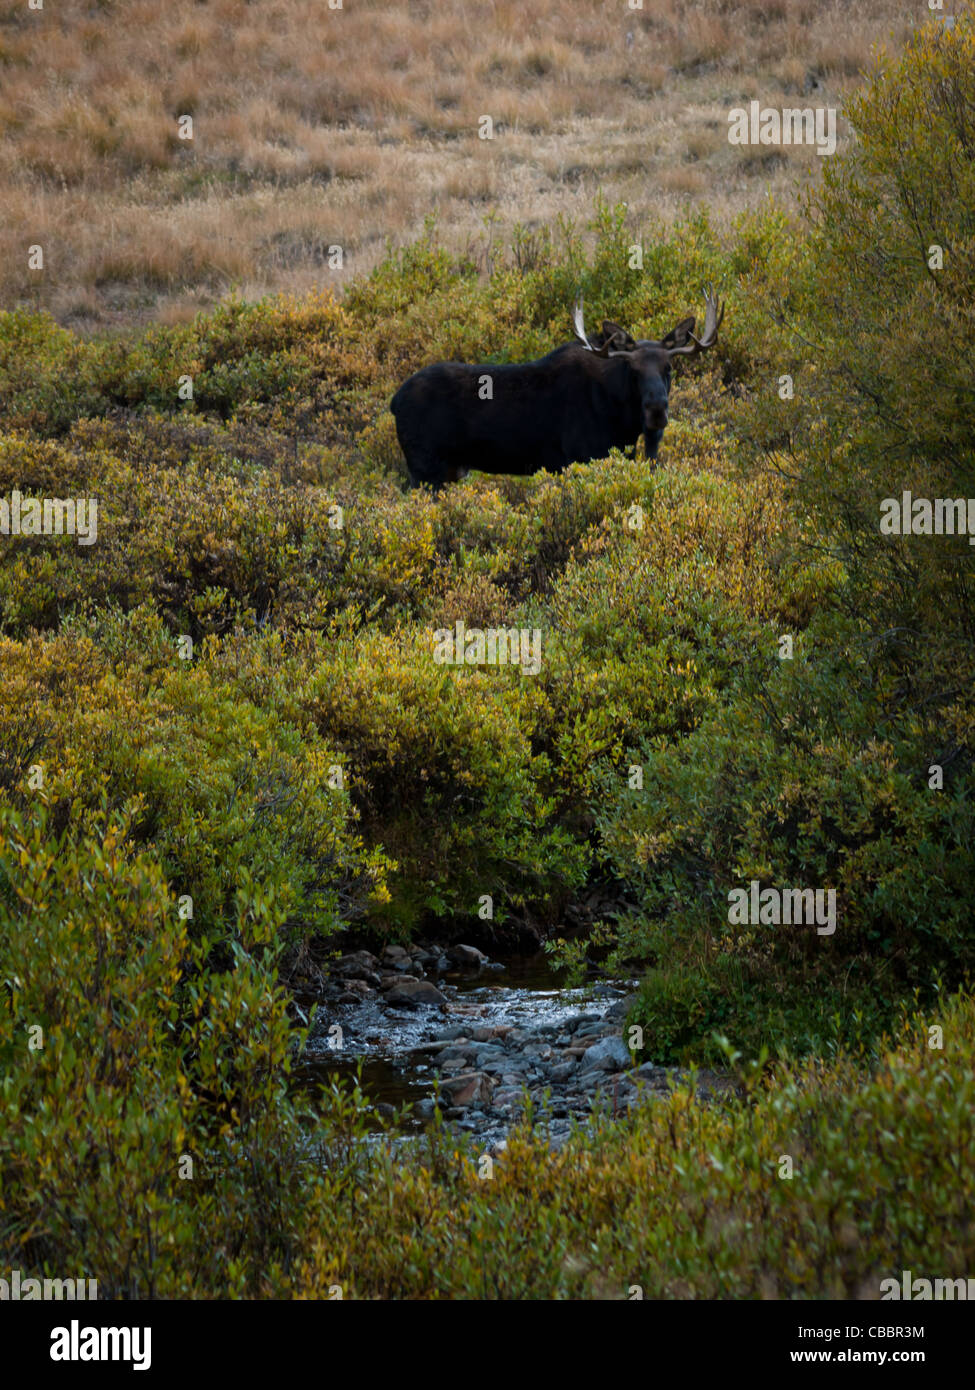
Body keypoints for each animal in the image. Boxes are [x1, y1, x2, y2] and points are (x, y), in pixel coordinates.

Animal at [390, 287, 724, 489]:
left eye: (669, 368)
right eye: (634, 371)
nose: (656, 411)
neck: (622, 423)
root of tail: (394, 402)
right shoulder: (580, 457)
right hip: (425, 470)